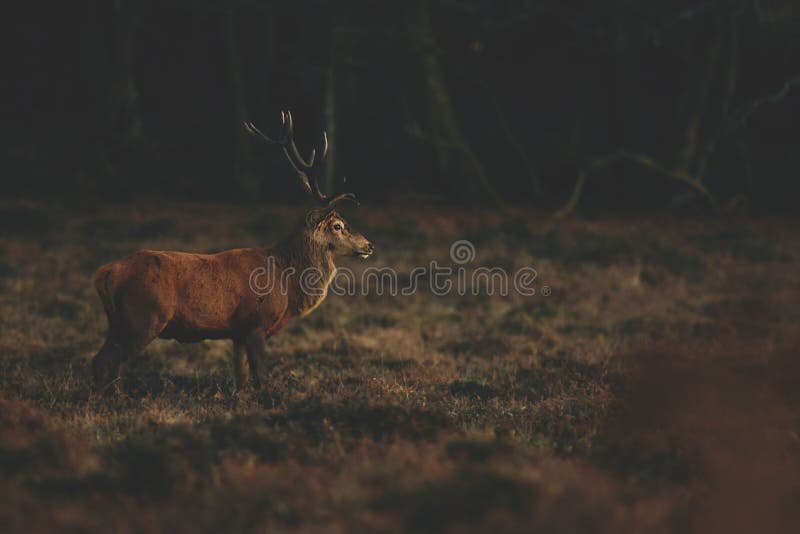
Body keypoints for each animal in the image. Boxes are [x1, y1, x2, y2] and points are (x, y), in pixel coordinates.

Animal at [91, 111, 373, 393]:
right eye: (338, 226)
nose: (369, 245)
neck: (286, 281)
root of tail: (106, 273)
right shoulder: (256, 323)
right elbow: (261, 377)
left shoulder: (238, 333)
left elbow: (242, 378)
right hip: (144, 317)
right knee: (108, 362)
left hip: (118, 322)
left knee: (101, 359)